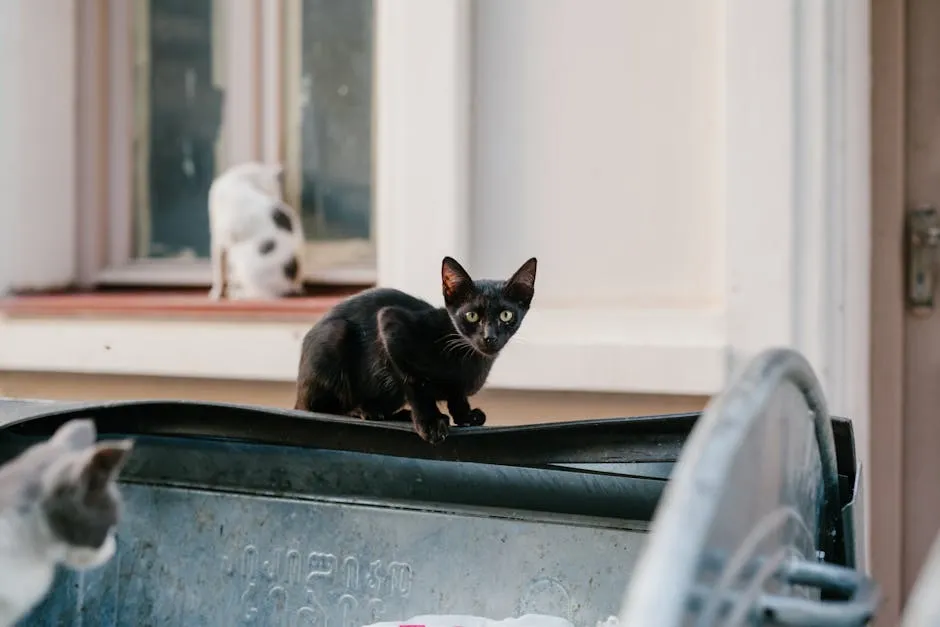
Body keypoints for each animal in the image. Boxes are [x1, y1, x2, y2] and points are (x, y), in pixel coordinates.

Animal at [298, 258, 540, 444]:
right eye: (472, 316)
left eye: (506, 315)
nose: (489, 337)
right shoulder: (390, 324)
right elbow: (416, 385)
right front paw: (430, 422)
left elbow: (457, 395)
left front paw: (464, 414)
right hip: (335, 335)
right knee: (317, 406)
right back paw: (363, 410)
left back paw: (398, 413)